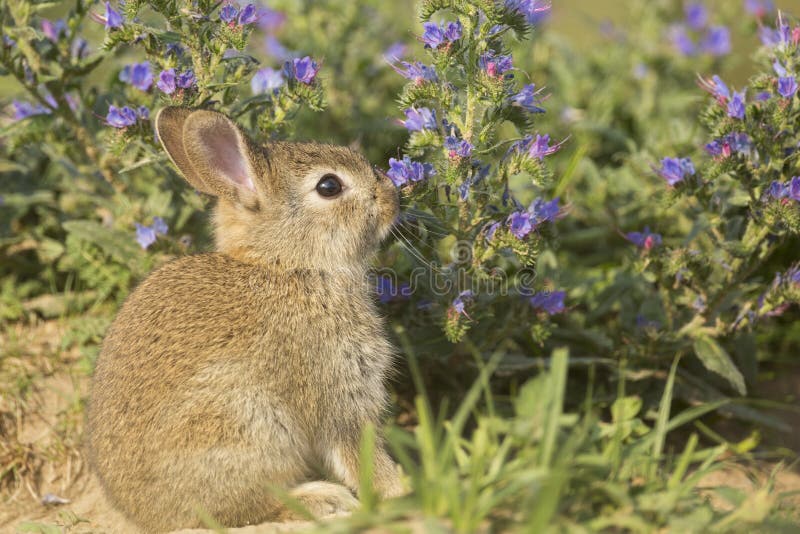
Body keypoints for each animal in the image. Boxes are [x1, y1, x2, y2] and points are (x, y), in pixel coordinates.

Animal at [87, 106, 404, 532]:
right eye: (329, 186)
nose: (392, 195)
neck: (288, 266)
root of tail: (148, 516)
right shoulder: (338, 389)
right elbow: (360, 455)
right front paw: (403, 492)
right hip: (244, 428)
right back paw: (324, 500)